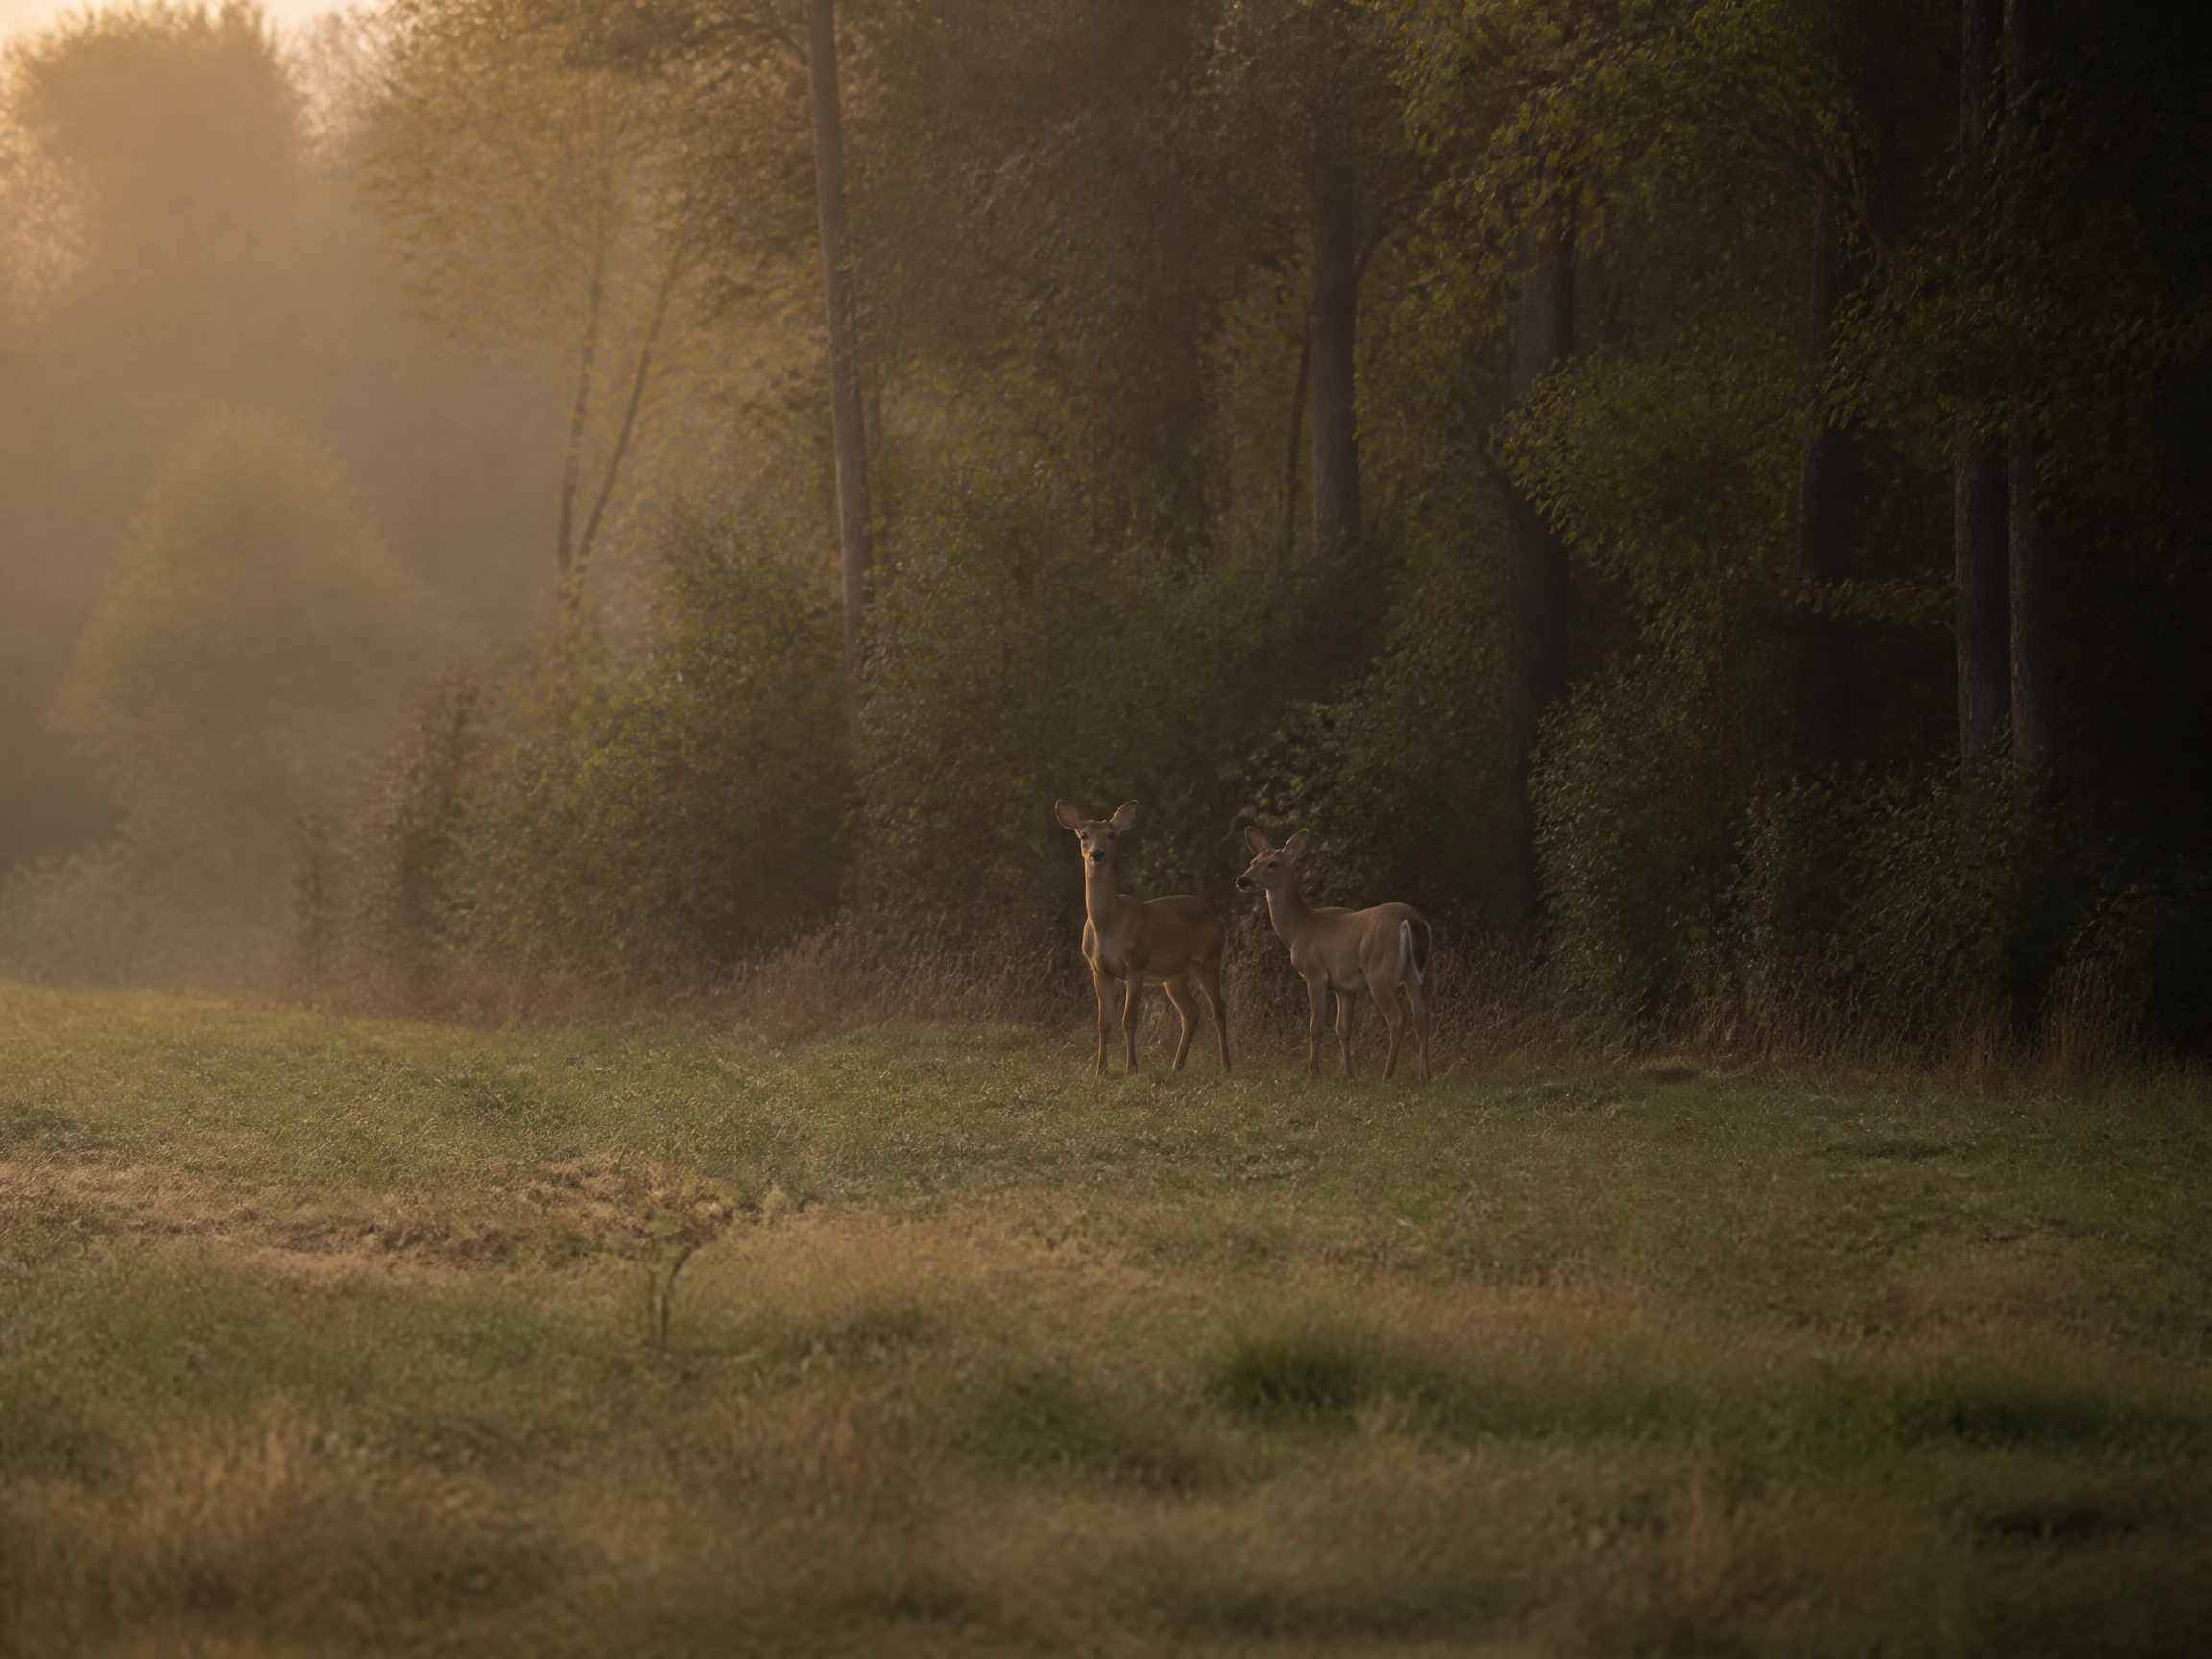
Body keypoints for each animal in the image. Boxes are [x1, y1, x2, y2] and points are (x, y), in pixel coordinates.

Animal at [1055, 800, 1231, 1078]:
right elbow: (1103, 1022)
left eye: (1111, 835)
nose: (1097, 853)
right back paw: (1176, 1066)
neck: (1108, 926)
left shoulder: (1135, 965)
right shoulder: (1099, 970)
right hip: (1175, 975)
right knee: (1191, 1012)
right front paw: (1101, 1070)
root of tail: (1217, 917)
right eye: (1083, 835)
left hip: (1209, 959)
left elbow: (1129, 1020)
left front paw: (1131, 1069)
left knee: (1219, 1008)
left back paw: (1226, 1066)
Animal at [1237, 827, 1432, 1083]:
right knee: (1422, 1016)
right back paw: (1424, 1077)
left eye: (1273, 863)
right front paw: (1349, 1074)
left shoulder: (1315, 974)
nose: (1242, 879)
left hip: (1379, 972)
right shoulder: (1344, 987)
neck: (1298, 927)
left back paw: (1387, 1076)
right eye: (1253, 861)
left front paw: (1312, 1075)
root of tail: (1412, 920)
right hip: (1414, 974)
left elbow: (1316, 1027)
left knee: (1397, 1019)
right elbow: (1343, 1029)